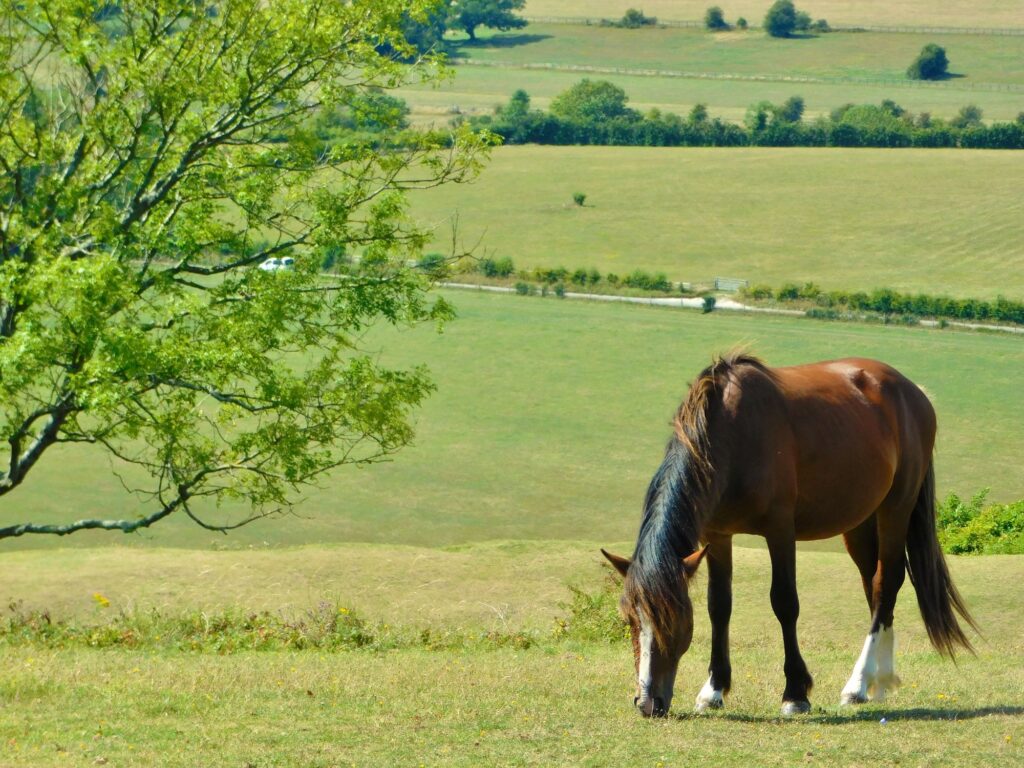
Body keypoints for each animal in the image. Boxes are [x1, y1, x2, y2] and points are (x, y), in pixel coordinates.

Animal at [601, 353, 977, 718]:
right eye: (630, 618)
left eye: (672, 620)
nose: (648, 703)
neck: (733, 434)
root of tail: (914, 393)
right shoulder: (718, 535)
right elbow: (719, 606)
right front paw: (713, 690)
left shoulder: (780, 530)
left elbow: (784, 602)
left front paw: (795, 693)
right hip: (859, 522)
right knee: (876, 587)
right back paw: (880, 681)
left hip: (896, 508)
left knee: (887, 582)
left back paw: (858, 684)